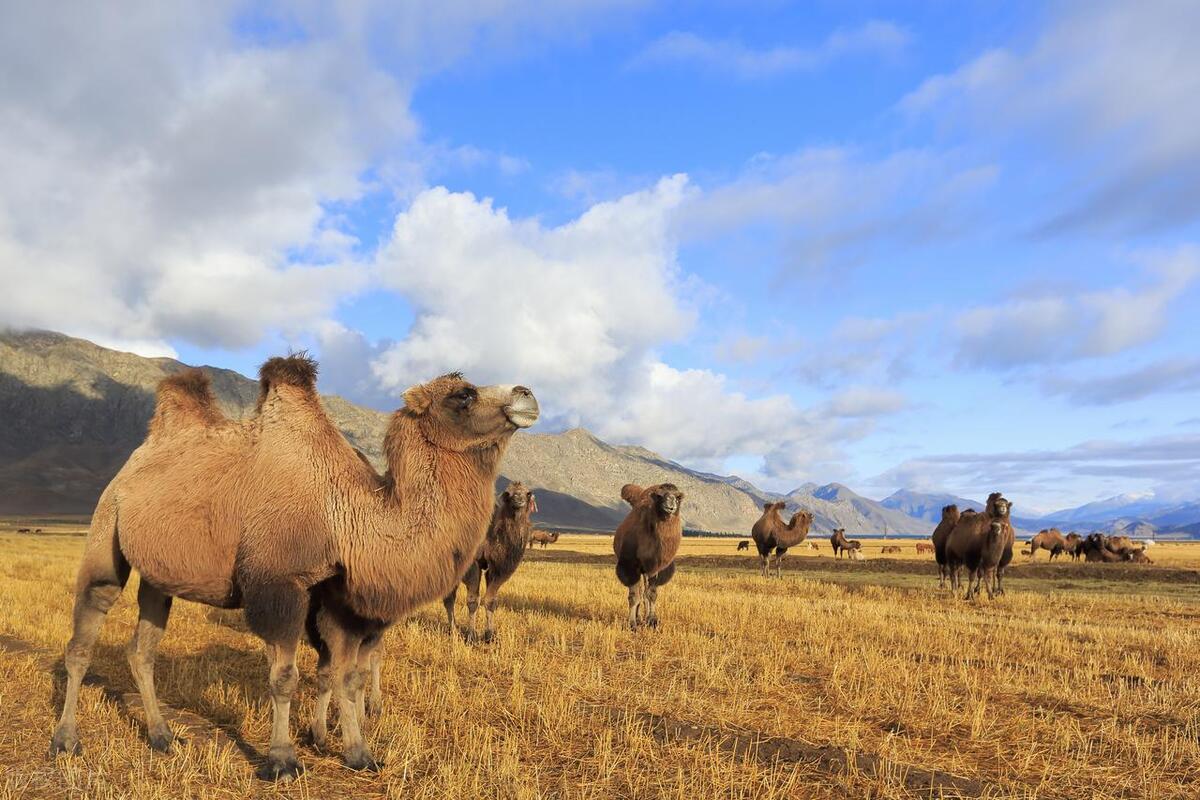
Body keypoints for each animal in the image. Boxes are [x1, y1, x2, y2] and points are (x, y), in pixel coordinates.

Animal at [443, 481, 537, 643]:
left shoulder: (497, 568)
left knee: (449, 598)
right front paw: (471, 636)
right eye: (508, 493)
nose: (518, 499)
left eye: (527, 493)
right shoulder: (473, 563)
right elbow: (473, 600)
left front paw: (489, 635)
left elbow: (491, 600)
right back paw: (454, 631)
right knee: (449, 598)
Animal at [613, 483, 683, 630]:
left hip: (645, 571)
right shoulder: (631, 566)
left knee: (644, 593)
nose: (670, 506)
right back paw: (639, 618)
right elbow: (634, 596)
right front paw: (632, 624)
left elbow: (652, 594)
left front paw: (652, 621)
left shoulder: (656, 568)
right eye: (660, 496)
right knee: (639, 592)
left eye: (678, 497)